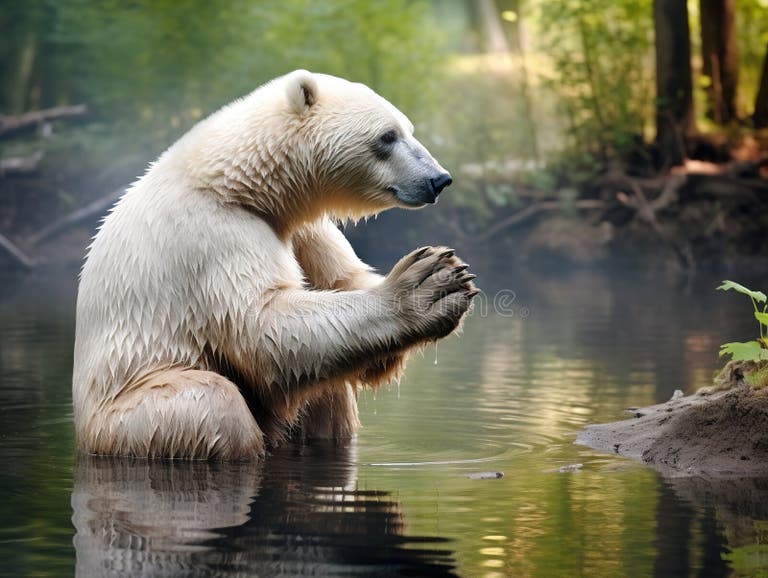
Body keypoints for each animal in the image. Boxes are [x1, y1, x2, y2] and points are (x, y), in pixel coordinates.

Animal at [72, 70, 477, 460]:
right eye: (387, 136)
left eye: (409, 129)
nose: (439, 179)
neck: (237, 182)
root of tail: (84, 431)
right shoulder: (215, 234)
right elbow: (264, 326)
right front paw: (427, 285)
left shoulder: (304, 230)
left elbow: (340, 286)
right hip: (129, 415)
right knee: (211, 404)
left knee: (328, 394)